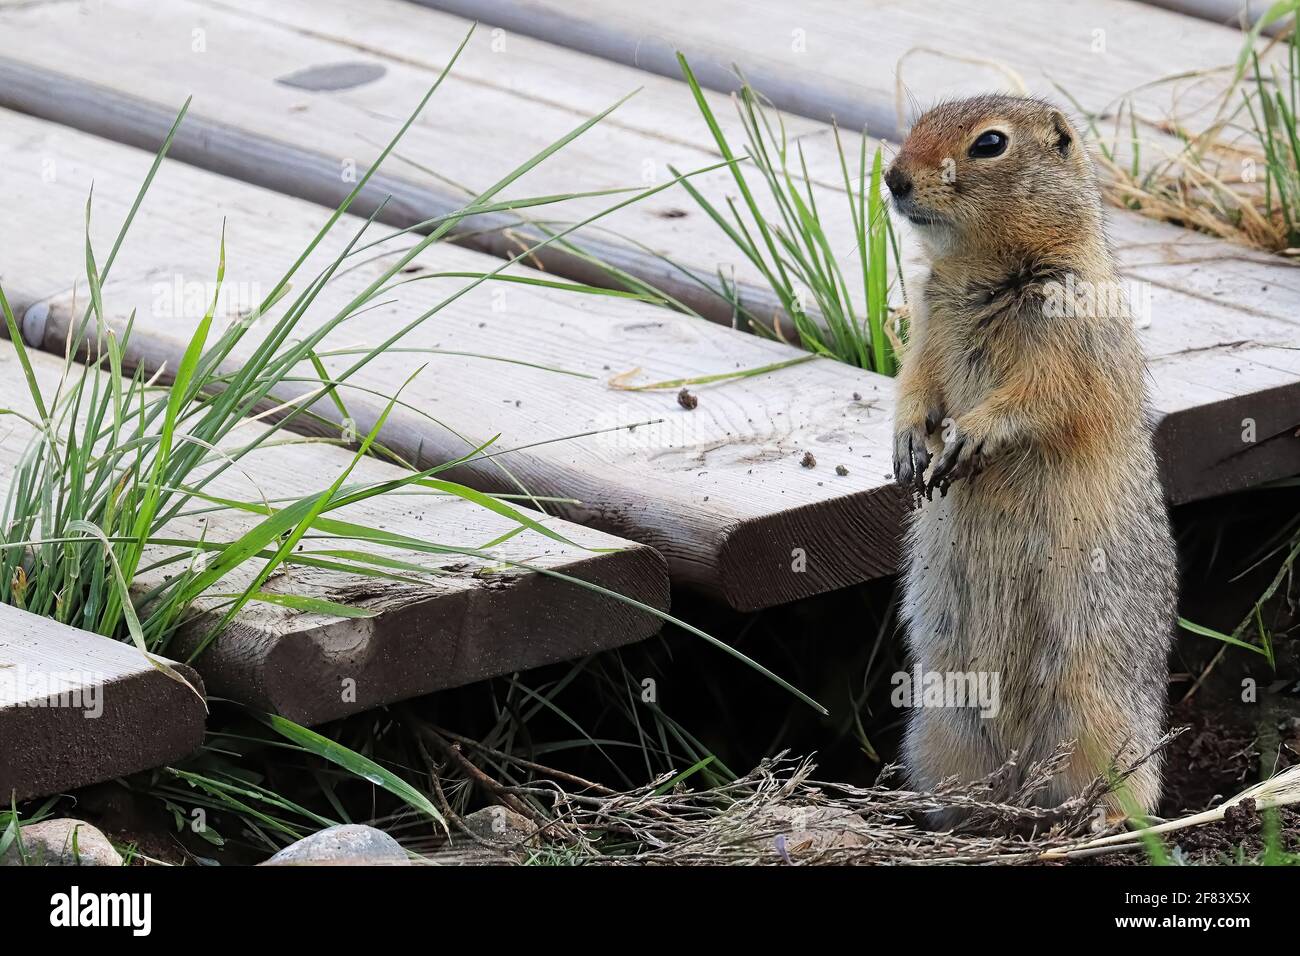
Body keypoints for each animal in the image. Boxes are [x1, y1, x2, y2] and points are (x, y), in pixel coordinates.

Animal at [884, 95, 1177, 820]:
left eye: (990, 143)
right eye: (921, 119)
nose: (894, 178)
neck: (981, 273)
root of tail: (1022, 780)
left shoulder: (1069, 333)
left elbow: (1039, 396)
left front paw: (970, 435)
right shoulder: (926, 328)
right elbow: (914, 384)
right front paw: (909, 448)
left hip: (1103, 716)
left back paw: (1098, 819)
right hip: (942, 721)